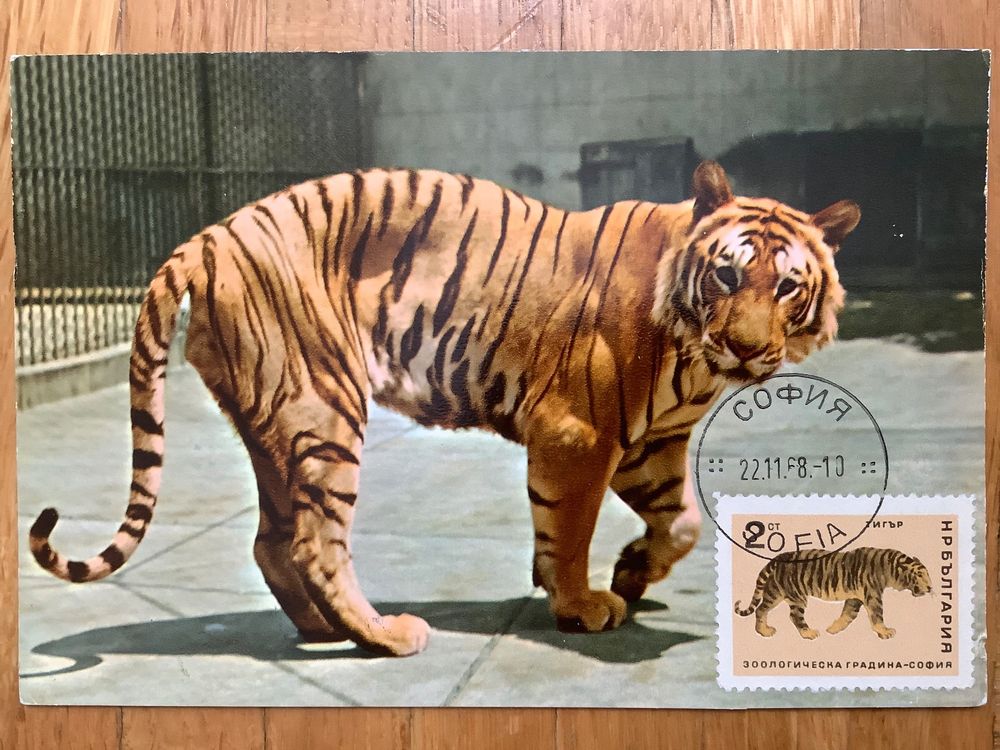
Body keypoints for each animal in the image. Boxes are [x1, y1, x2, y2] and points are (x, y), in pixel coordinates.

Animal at [29, 160, 860, 656]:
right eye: (727, 276)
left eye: (787, 286)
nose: (749, 349)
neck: (695, 361)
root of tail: (205, 236)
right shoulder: (579, 434)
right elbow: (570, 530)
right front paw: (581, 603)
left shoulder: (649, 447)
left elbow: (682, 522)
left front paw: (629, 574)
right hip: (323, 405)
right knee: (314, 542)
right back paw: (382, 636)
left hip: (271, 421)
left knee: (273, 540)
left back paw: (320, 629)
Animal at [734, 547, 933, 640]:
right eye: (920, 575)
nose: (931, 588)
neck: (889, 569)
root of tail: (778, 558)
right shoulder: (873, 596)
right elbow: (877, 616)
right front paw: (885, 631)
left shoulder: (854, 598)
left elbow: (847, 615)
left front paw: (833, 629)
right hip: (797, 596)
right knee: (794, 616)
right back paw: (808, 633)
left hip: (774, 592)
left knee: (761, 609)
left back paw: (763, 631)